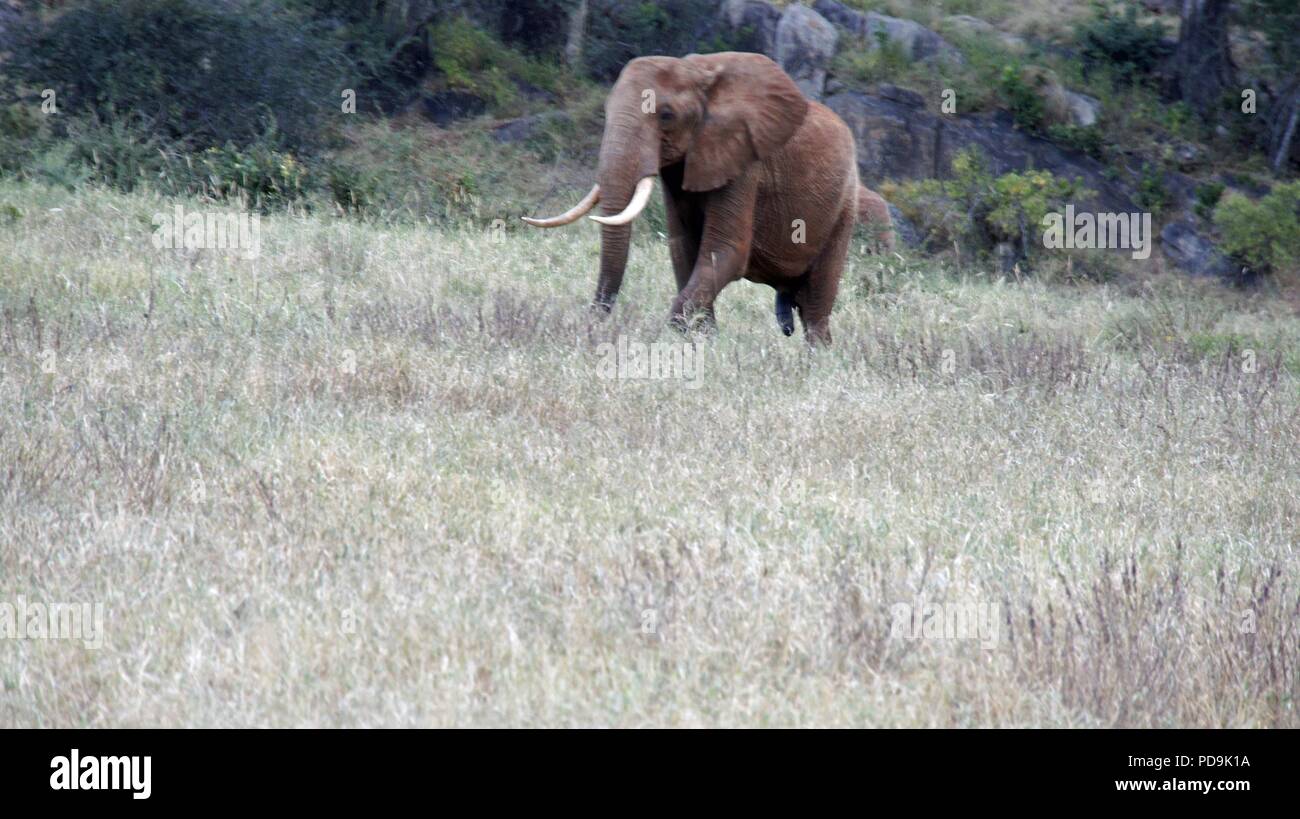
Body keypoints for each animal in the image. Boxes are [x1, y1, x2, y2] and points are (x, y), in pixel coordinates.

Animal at [522, 52, 860, 345]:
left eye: (666, 115)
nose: (592, 324)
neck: (699, 72)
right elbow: (684, 250)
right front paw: (704, 340)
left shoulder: (744, 162)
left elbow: (724, 252)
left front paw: (668, 340)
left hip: (845, 206)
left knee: (816, 306)